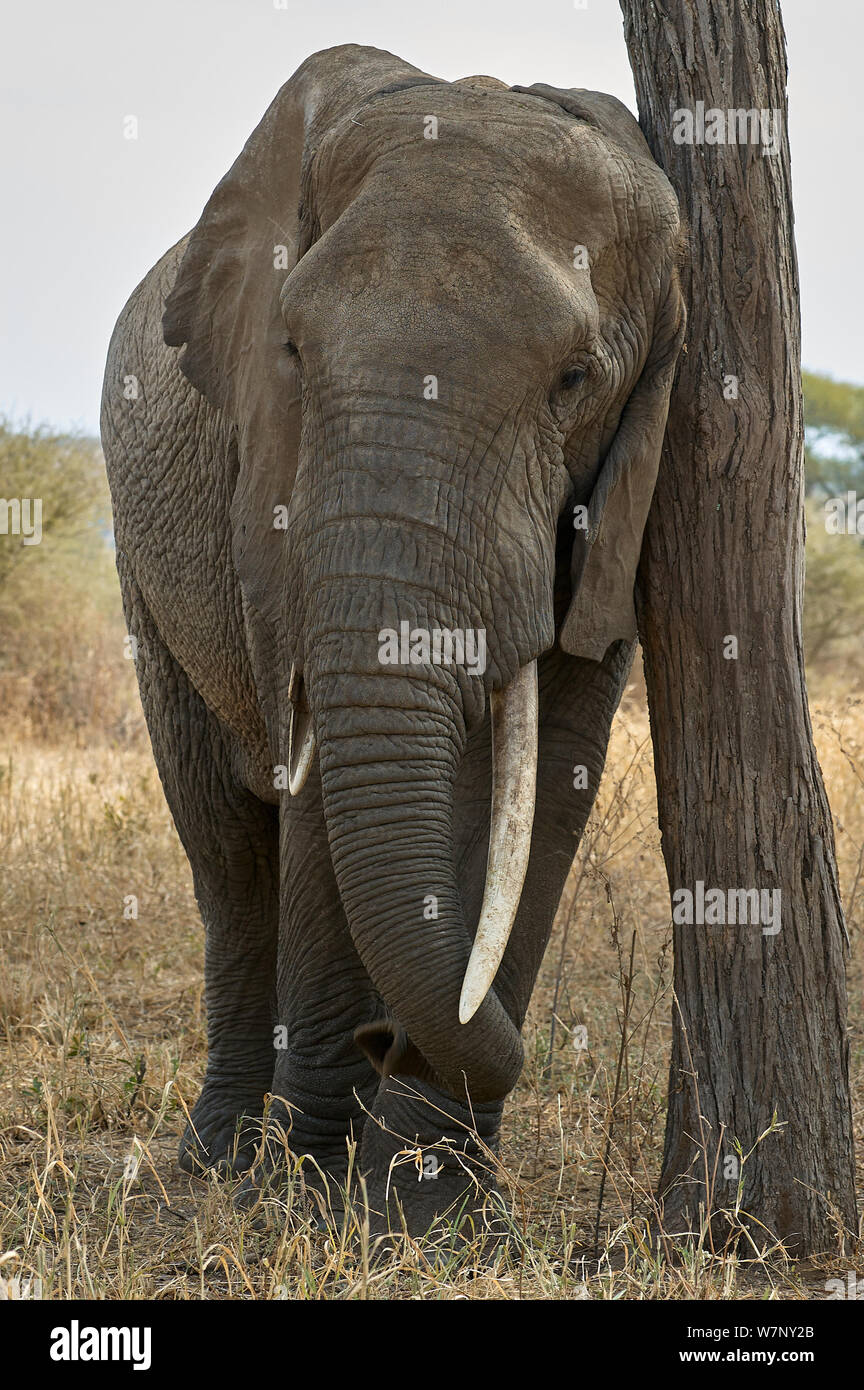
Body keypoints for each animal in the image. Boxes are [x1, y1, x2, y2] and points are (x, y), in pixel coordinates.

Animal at [101, 43, 684, 1239]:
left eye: (576, 381)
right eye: (290, 349)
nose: (387, 1041)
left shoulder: (623, 493)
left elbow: (553, 775)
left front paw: (433, 1209)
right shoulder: (275, 485)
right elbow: (321, 768)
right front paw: (309, 1190)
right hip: (142, 562)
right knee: (227, 851)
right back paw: (223, 1153)